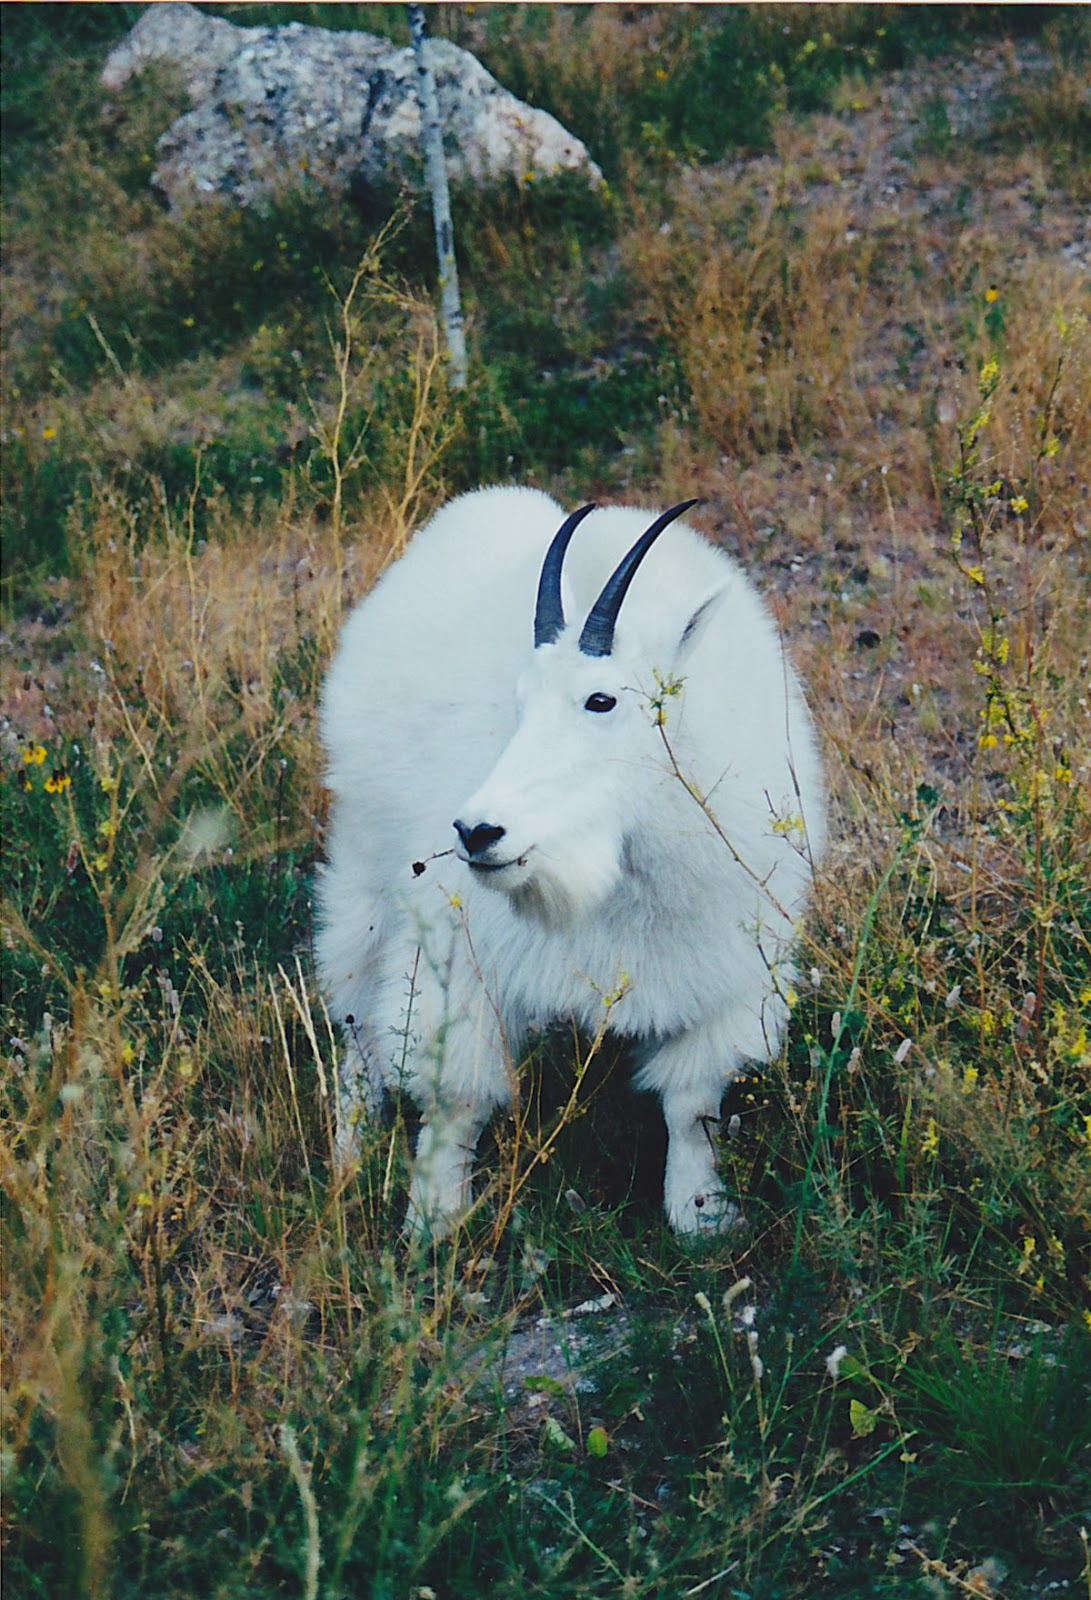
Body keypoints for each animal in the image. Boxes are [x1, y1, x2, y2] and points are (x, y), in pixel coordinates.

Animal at [317, 487, 824, 1235]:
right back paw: (349, 1148)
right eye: (518, 704)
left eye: (601, 699)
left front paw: (699, 1214)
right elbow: (456, 1095)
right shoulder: (463, 962)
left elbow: (690, 1102)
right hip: (362, 872)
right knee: (354, 1019)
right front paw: (432, 1222)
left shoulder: (724, 971)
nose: (477, 831)